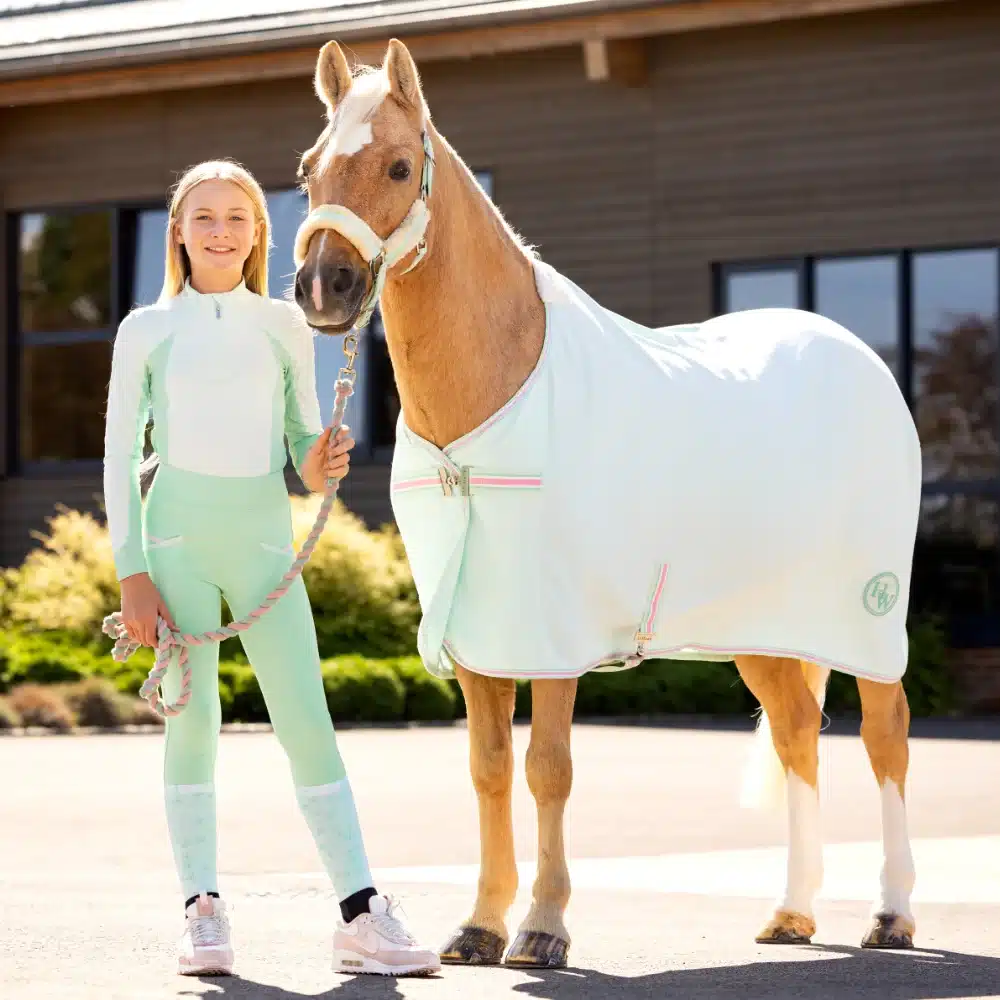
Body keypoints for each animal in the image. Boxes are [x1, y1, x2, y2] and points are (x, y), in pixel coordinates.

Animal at [290, 37, 922, 967]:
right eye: (309, 170)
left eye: (401, 166)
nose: (323, 288)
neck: (498, 387)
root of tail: (861, 359)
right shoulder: (479, 637)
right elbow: (487, 766)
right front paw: (478, 926)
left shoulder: (555, 636)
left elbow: (548, 767)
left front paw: (544, 929)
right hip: (765, 632)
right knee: (797, 731)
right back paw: (791, 912)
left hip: (868, 621)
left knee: (885, 735)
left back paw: (892, 914)